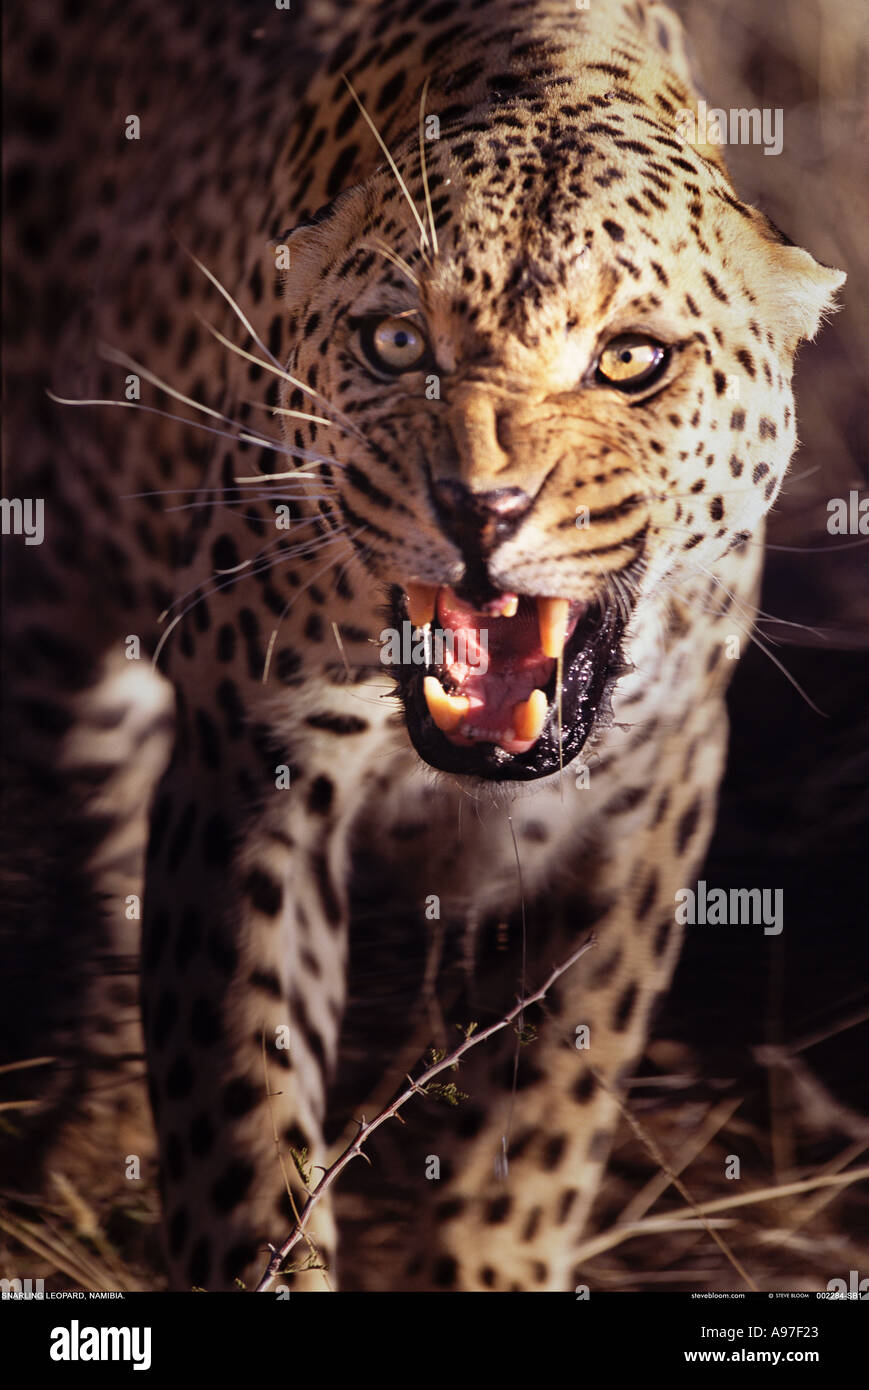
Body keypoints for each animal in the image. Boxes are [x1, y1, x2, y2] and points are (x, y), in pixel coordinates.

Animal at [2, 0, 844, 1293]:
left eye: (629, 358)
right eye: (398, 344)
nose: (478, 508)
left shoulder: (644, 802)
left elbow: (538, 1129)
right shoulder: (253, 768)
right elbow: (240, 1118)